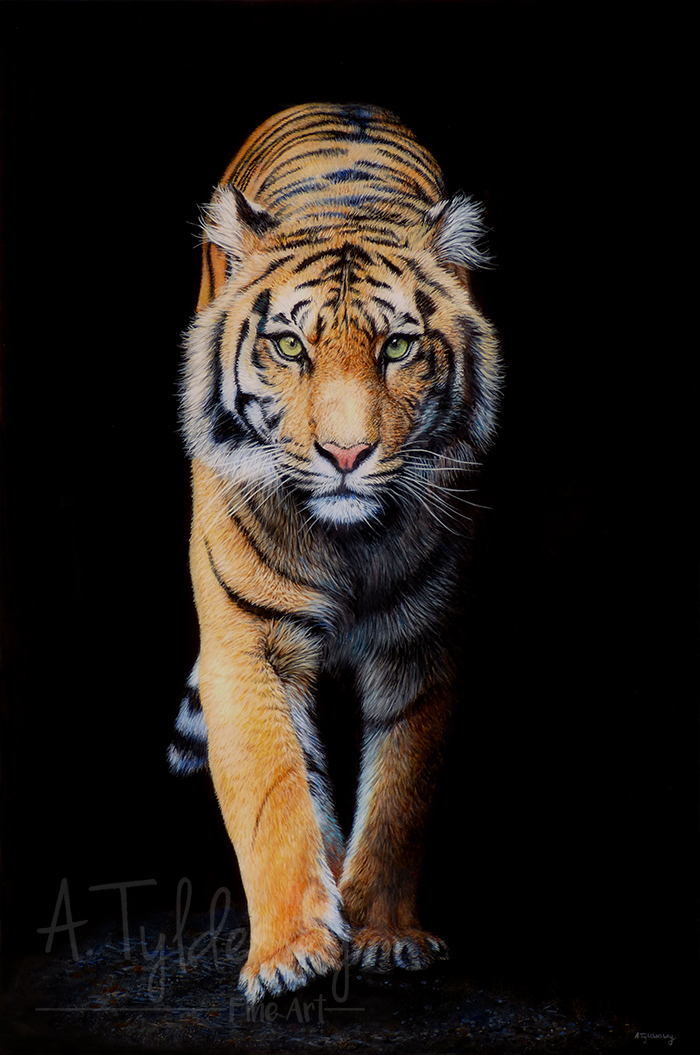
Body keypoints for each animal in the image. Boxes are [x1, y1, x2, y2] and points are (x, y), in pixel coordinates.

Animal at [168, 103, 502, 1004]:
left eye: (397, 348)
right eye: (289, 347)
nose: (347, 454)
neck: (346, 541)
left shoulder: (427, 644)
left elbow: (400, 793)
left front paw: (384, 934)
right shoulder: (244, 643)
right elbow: (274, 791)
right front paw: (291, 953)